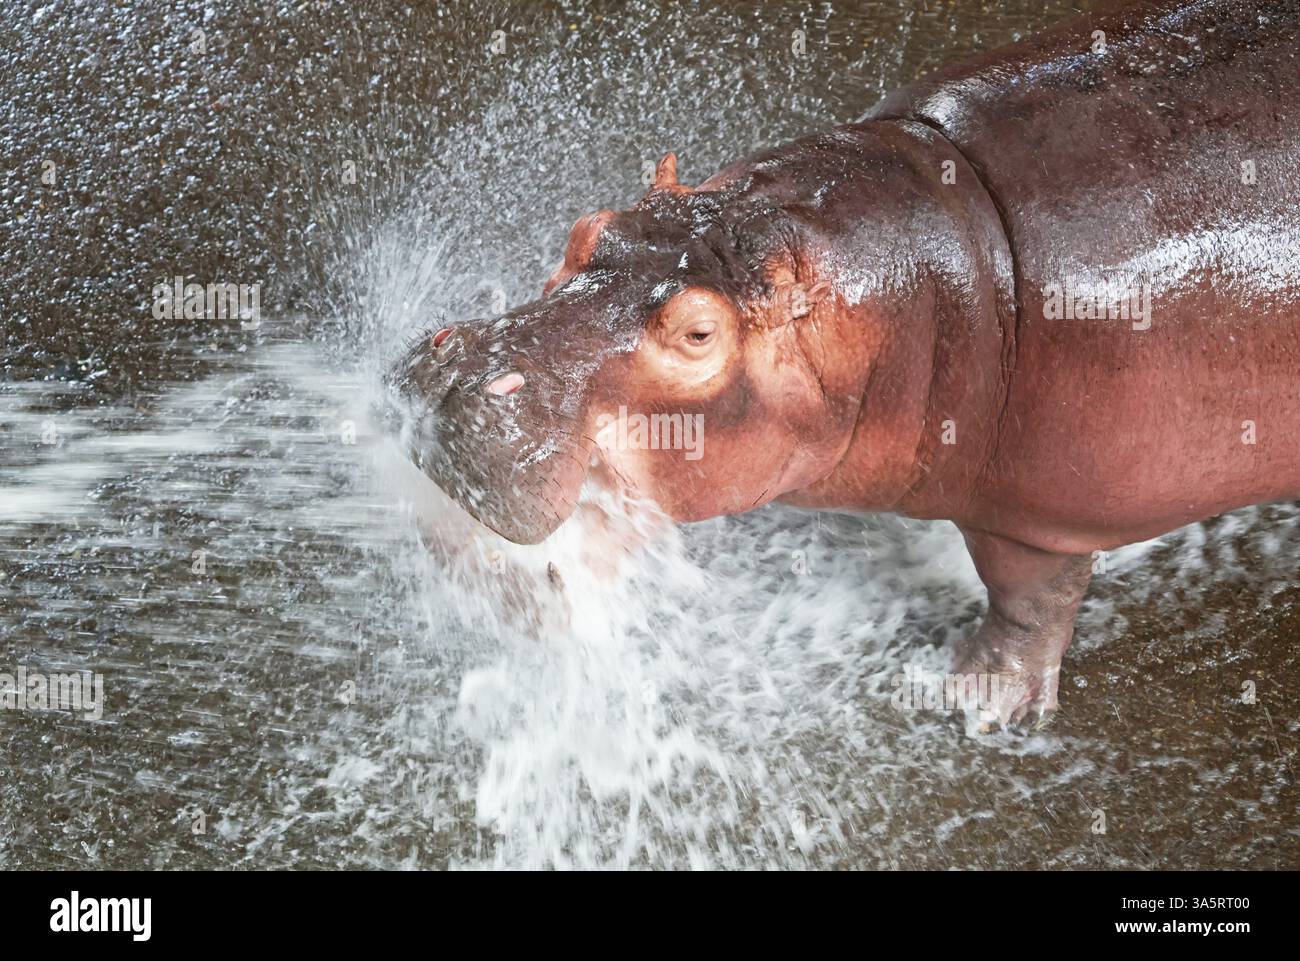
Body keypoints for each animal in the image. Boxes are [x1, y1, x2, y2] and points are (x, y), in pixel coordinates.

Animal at [393, 0, 1300, 726]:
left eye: (697, 335)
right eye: (588, 227)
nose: (465, 375)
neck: (949, 267)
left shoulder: (1039, 510)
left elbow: (1029, 600)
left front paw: (967, 700)